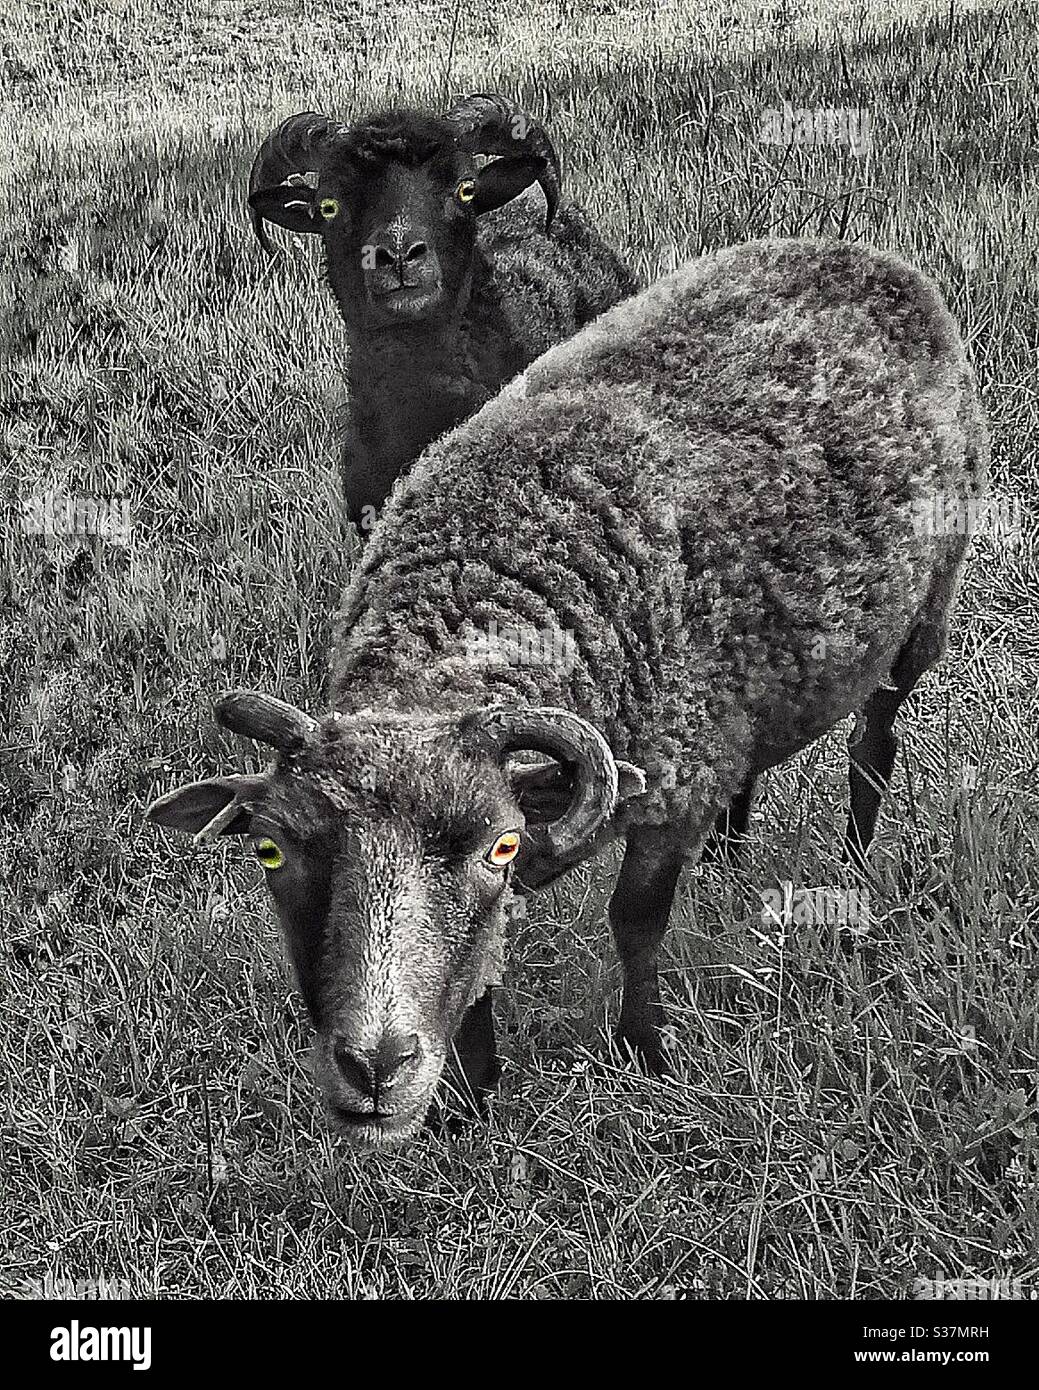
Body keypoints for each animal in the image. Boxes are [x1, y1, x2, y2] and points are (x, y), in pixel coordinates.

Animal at [146, 238, 988, 1149]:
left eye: (500, 847)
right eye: (269, 850)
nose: (373, 1070)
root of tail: (858, 254)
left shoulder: (665, 793)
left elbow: (634, 920)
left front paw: (643, 1051)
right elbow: (483, 965)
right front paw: (471, 1101)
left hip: (927, 605)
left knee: (875, 743)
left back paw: (853, 861)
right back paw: (729, 851)